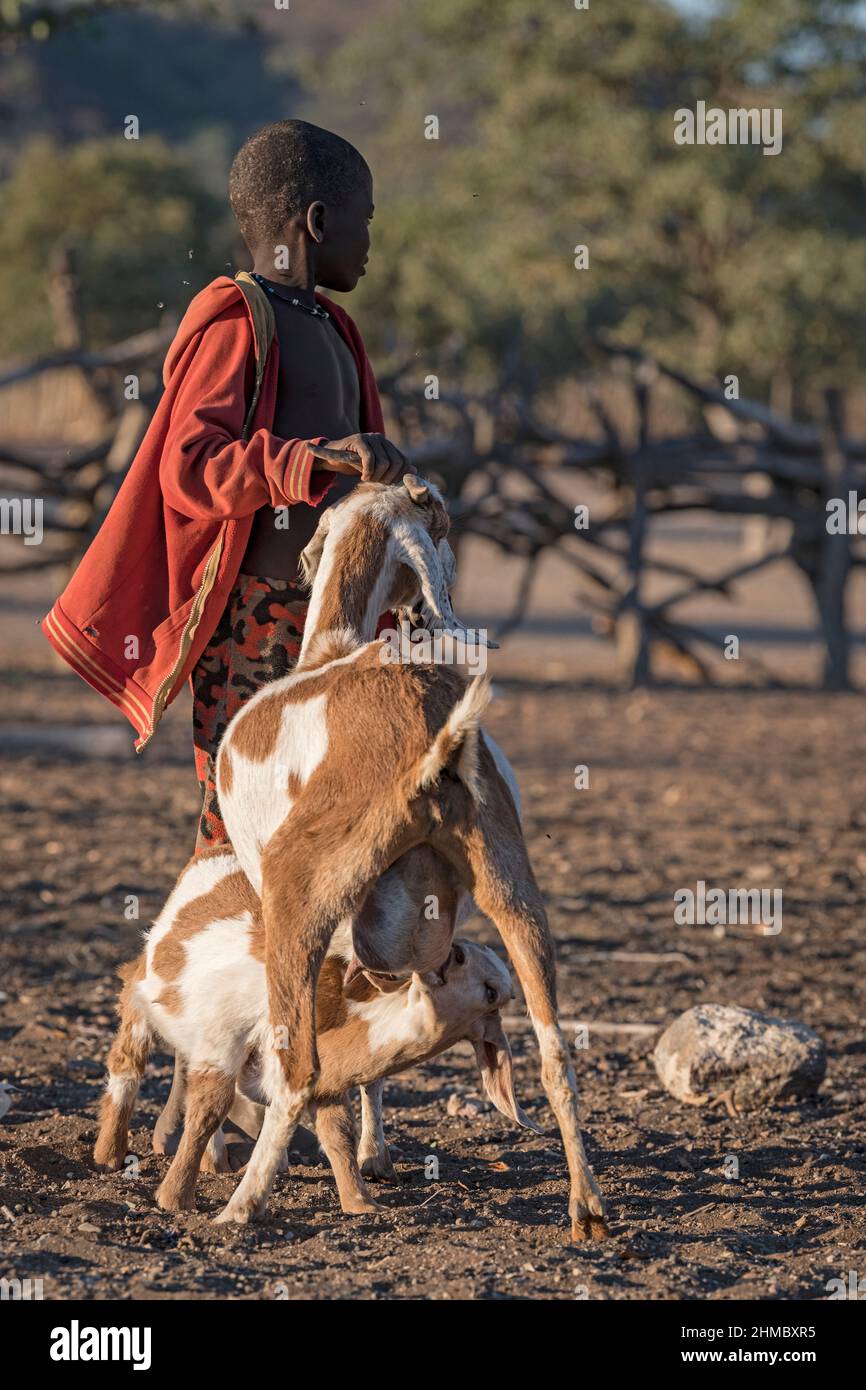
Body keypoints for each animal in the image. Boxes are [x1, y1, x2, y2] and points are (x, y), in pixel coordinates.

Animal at [93, 846, 535, 1215]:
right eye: (460, 956)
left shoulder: (325, 1080)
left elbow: (337, 1132)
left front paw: (360, 1204)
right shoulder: (223, 1043)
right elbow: (208, 1109)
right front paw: (175, 1198)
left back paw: (214, 1161)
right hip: (140, 987)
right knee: (127, 1062)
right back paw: (109, 1152)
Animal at [211, 470, 608, 1240]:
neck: (330, 647)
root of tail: (431, 738)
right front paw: (376, 1153)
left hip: (297, 905)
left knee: (296, 1070)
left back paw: (239, 1206)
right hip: (515, 895)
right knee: (555, 1055)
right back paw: (588, 1211)